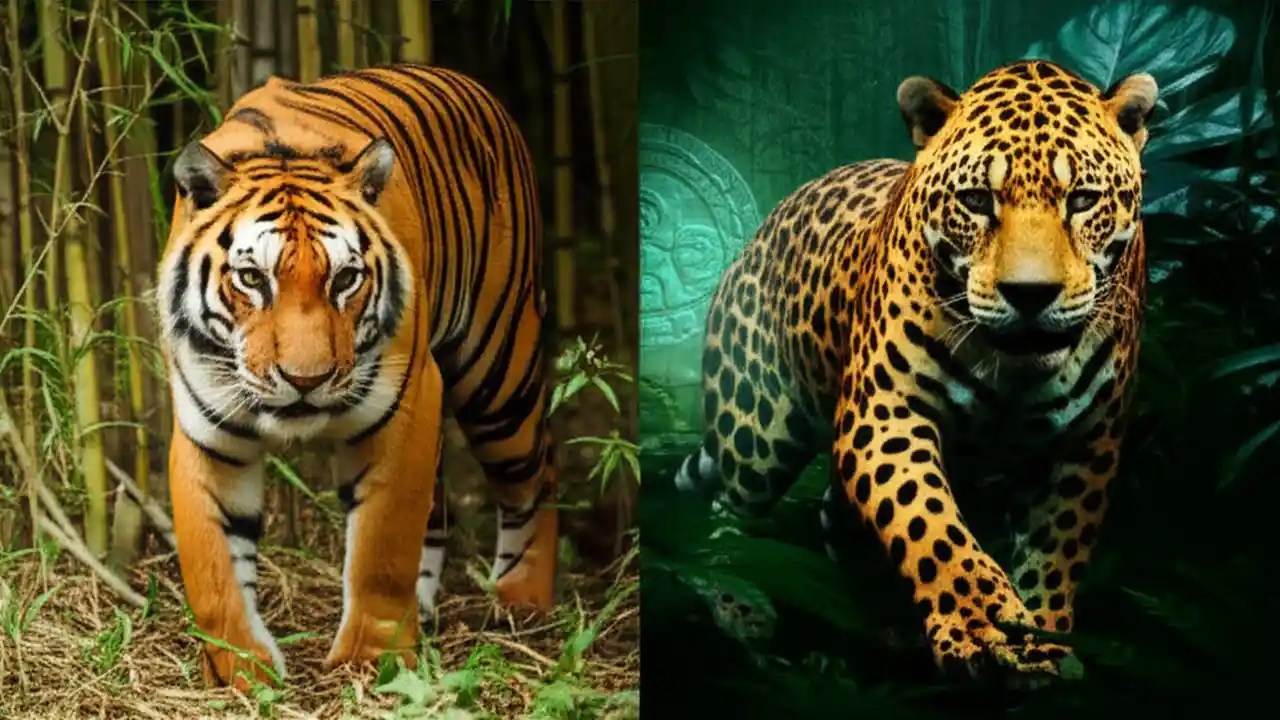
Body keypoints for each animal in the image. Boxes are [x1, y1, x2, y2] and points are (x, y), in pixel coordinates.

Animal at [156, 63, 558, 690]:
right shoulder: (207, 432)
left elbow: (381, 548)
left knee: (535, 476)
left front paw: (371, 662)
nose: (305, 379)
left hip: (500, 370)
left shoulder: (406, 403)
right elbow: (215, 571)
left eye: (345, 279)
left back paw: (522, 600)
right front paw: (241, 671)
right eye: (251, 278)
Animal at [672, 59, 1157, 679]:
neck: (1015, 375)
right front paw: (980, 627)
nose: (1030, 294)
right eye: (975, 200)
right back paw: (742, 607)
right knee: (730, 513)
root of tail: (756, 236)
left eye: (1083, 200)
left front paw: (1042, 645)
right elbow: (929, 523)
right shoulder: (886, 413)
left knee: (833, 513)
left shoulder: (1086, 443)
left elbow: (1054, 556)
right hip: (756, 429)